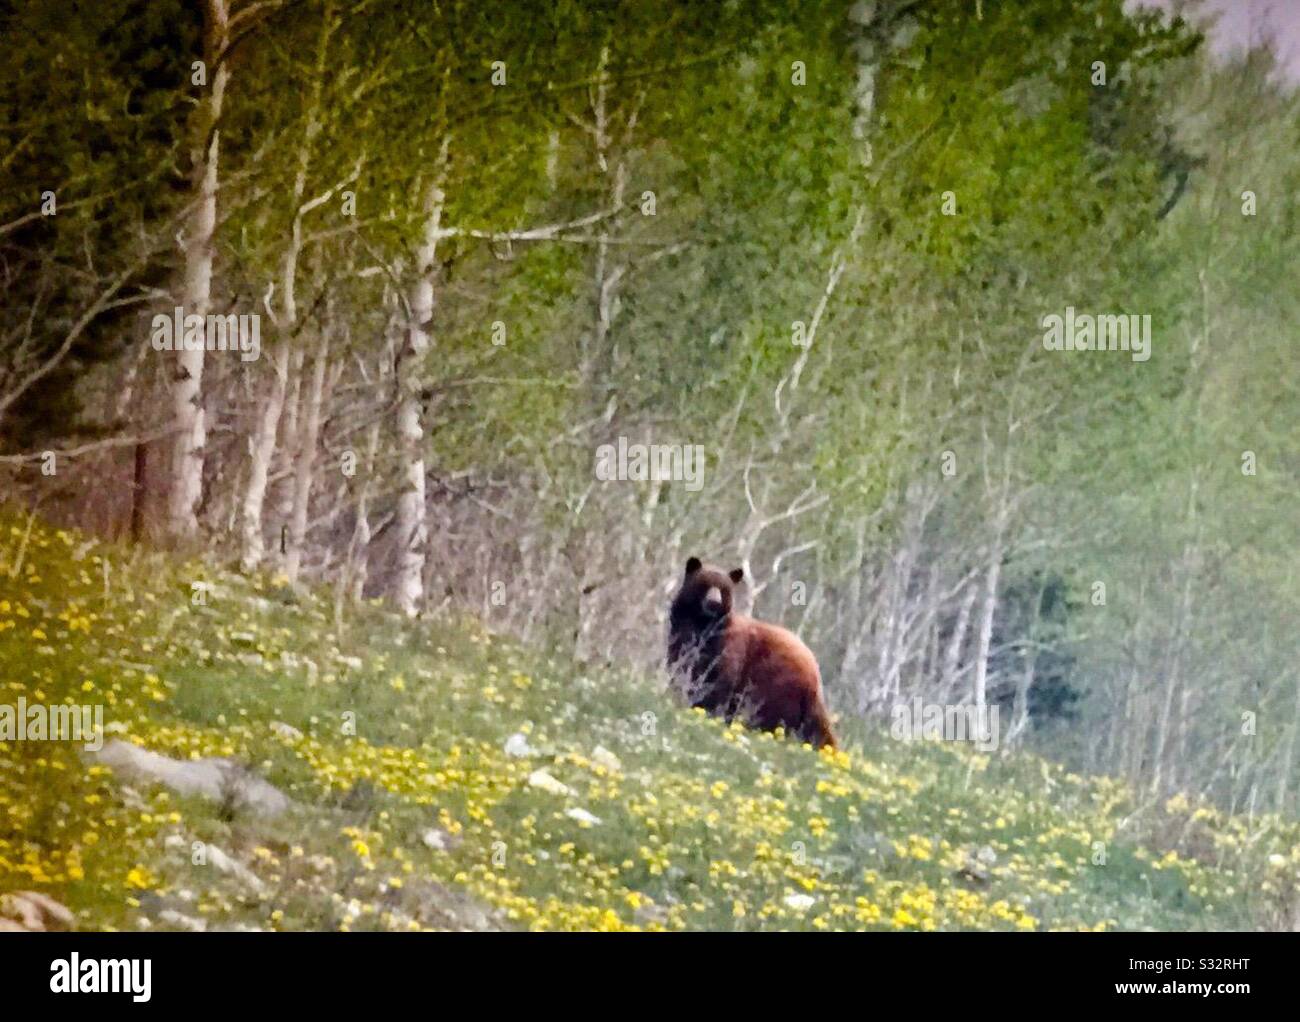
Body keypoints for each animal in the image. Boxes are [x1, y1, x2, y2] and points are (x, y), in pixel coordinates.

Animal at [667, 557, 837, 749]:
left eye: (724, 589)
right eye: (704, 584)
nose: (714, 602)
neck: (702, 626)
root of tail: (814, 674)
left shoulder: (728, 648)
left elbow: (719, 683)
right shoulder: (680, 640)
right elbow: (682, 669)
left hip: (775, 684)